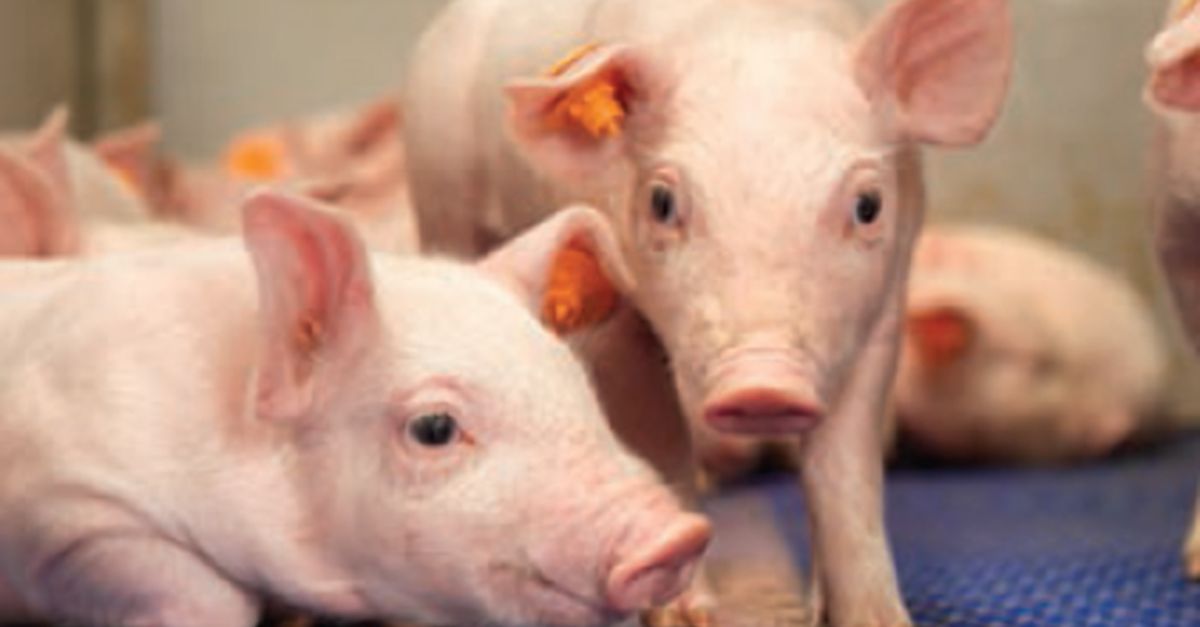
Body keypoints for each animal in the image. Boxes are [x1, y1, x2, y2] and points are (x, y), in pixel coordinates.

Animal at [404, 0, 1014, 623]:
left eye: (869, 205)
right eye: (661, 202)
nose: (762, 386)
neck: (749, 27)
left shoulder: (888, 301)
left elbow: (846, 471)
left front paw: (877, 617)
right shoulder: (613, 303)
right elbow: (658, 432)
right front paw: (686, 615)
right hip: (438, 189)